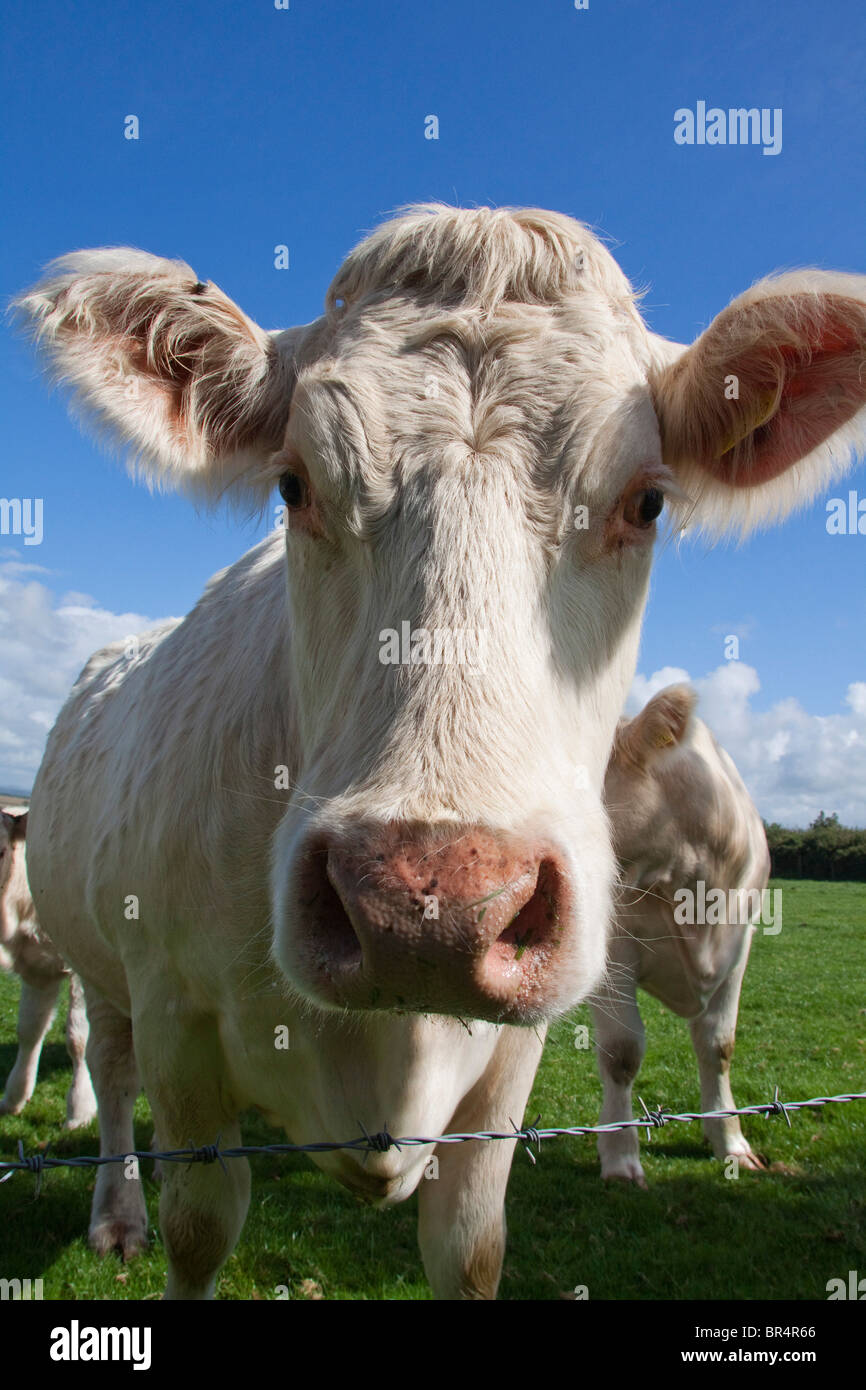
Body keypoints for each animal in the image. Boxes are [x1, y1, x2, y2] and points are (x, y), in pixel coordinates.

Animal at [0, 810, 96, 1128]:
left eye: (0, 851)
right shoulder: (38, 970)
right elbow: (29, 1029)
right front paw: (14, 1097)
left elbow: (79, 1037)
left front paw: (80, 1108)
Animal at [595, 685, 769, 1187]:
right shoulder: (613, 952)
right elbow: (622, 1052)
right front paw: (620, 1158)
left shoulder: (741, 942)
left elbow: (719, 1045)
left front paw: (730, 1143)